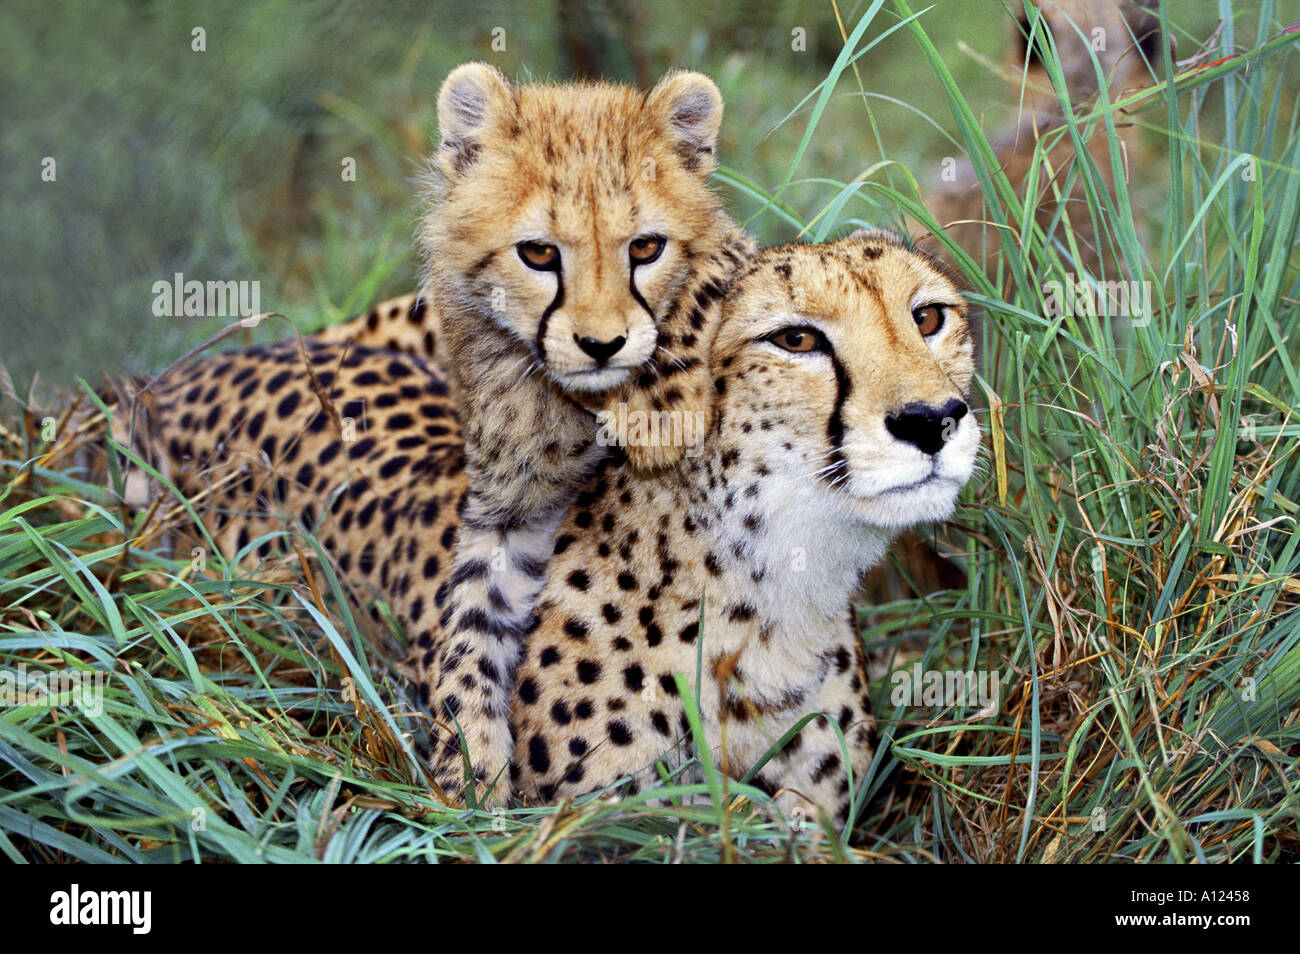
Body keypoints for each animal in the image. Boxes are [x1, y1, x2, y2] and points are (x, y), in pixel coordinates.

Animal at [312, 63, 755, 800]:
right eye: (540, 253)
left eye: (645, 247)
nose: (602, 344)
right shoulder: (511, 509)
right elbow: (469, 622)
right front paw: (470, 766)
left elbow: (718, 265)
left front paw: (662, 412)